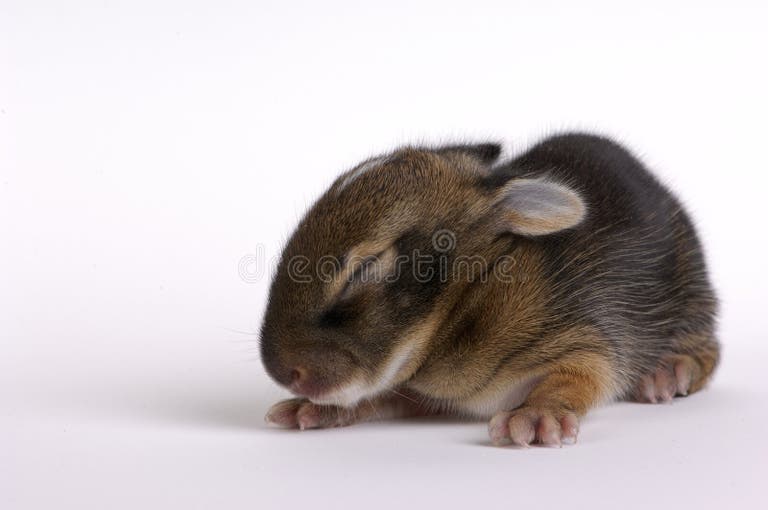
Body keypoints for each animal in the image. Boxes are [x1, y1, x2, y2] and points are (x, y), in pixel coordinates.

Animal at [259, 132, 719, 447]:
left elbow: (577, 378)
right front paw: (312, 411)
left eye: (364, 270)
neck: (466, 302)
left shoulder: (587, 339)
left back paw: (667, 374)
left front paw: (535, 418)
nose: (281, 372)